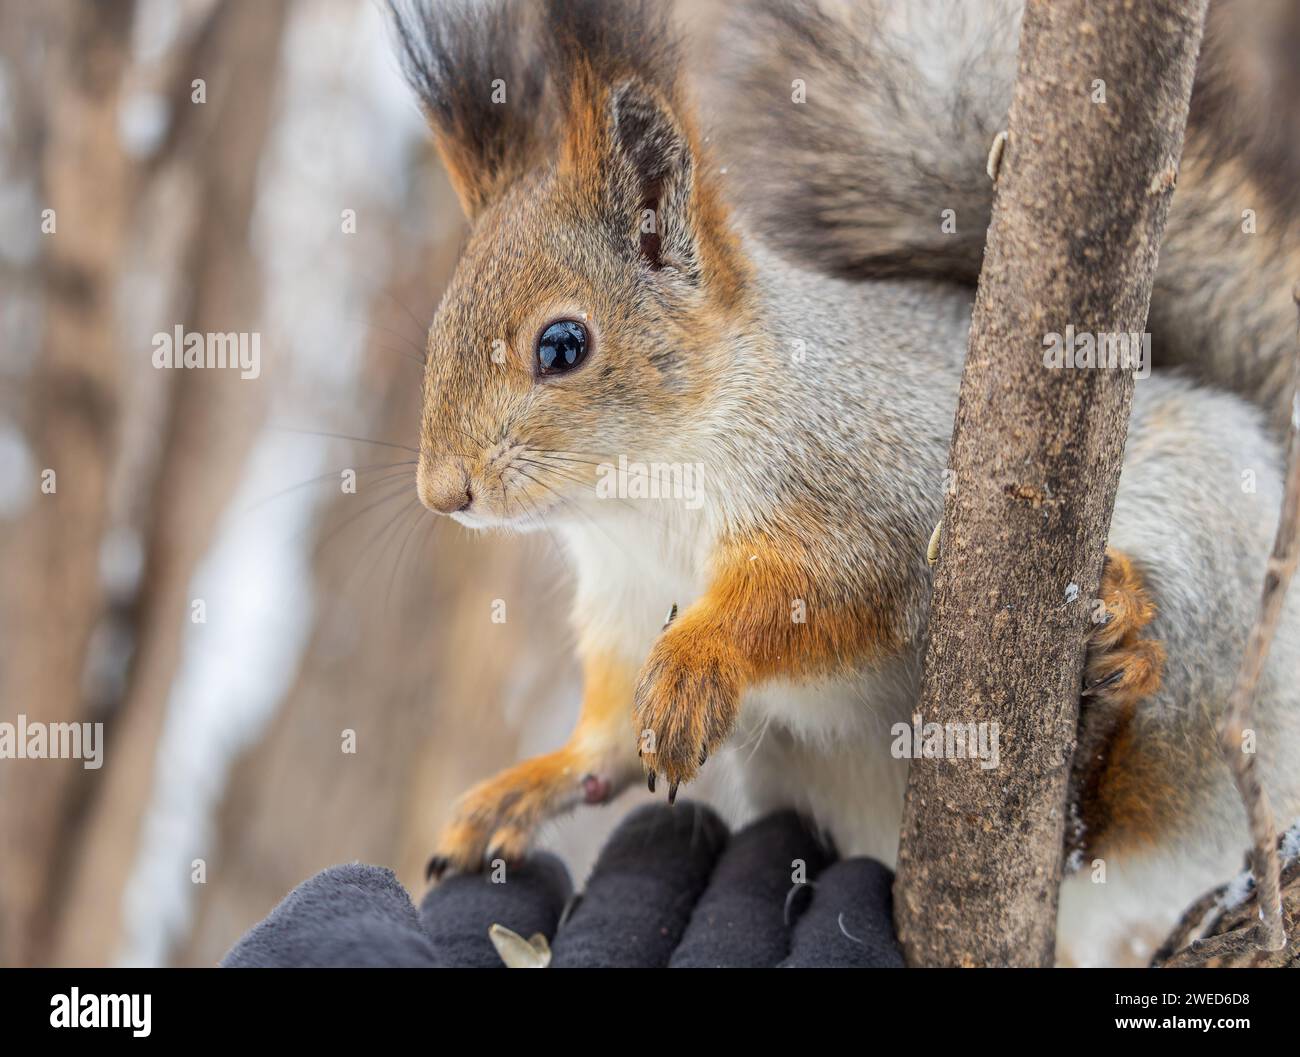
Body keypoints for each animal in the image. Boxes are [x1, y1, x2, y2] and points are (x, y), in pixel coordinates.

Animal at [390, 0, 1300, 965]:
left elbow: (831, 591)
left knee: (1132, 810)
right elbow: (603, 744)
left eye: (563, 345)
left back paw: (1112, 692)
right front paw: (527, 786)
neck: (639, 503)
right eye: (438, 334)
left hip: (1209, 595)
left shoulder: (861, 481)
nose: (443, 492)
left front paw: (696, 662)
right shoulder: (625, 596)